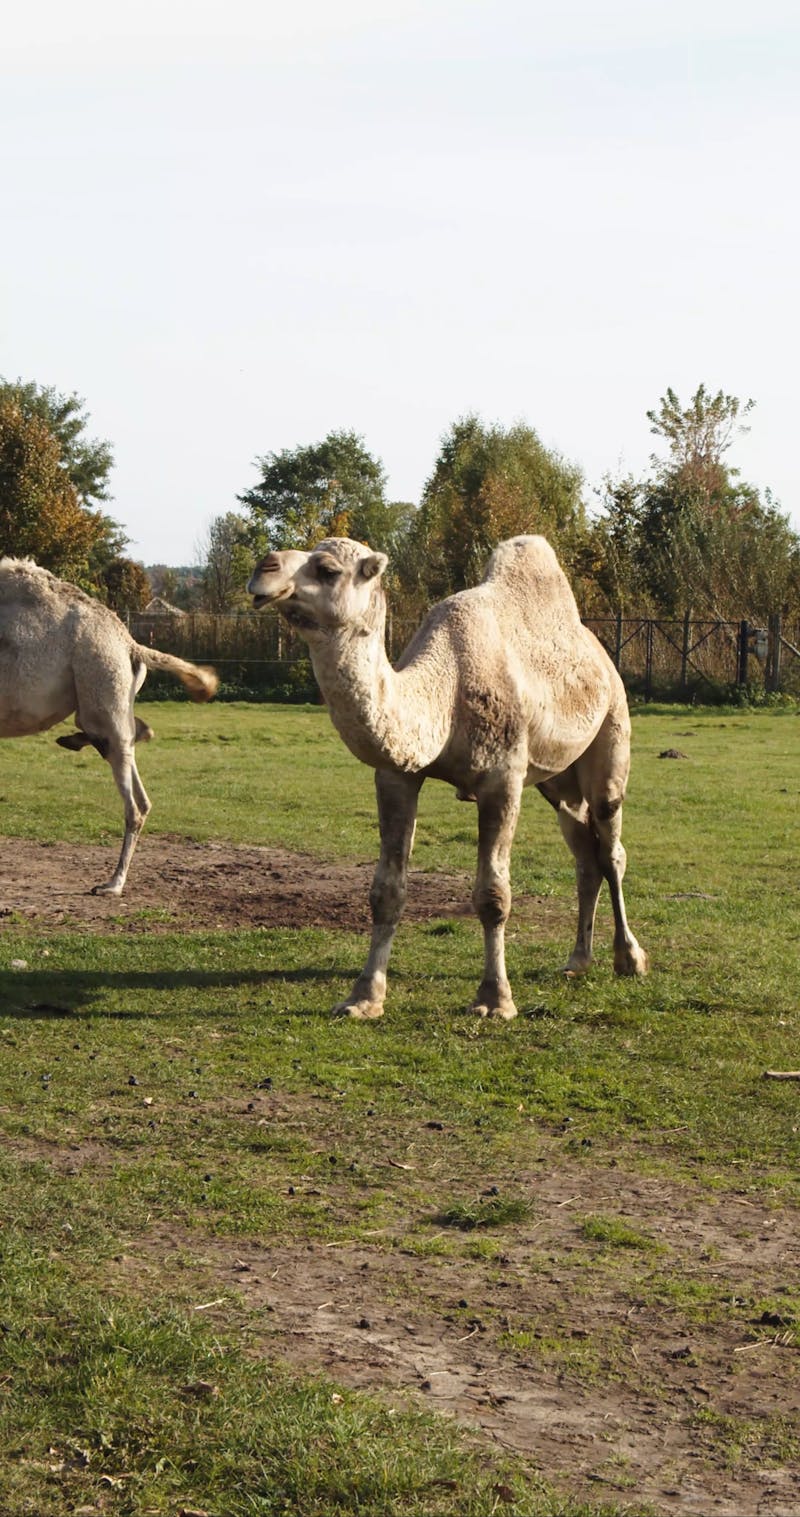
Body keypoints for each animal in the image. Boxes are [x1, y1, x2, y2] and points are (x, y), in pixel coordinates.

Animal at [0, 557, 218, 896]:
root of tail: (129, 643)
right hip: (111, 705)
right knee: (136, 777)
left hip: (102, 684)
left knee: (134, 803)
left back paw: (113, 884)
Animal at [248, 534, 647, 1022]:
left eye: (327, 569)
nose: (263, 569)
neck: (444, 690)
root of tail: (600, 655)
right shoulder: (396, 776)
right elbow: (386, 891)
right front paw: (363, 997)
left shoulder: (502, 779)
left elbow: (493, 895)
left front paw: (494, 1000)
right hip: (558, 784)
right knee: (584, 853)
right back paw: (576, 961)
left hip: (612, 731)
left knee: (611, 848)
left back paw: (629, 959)